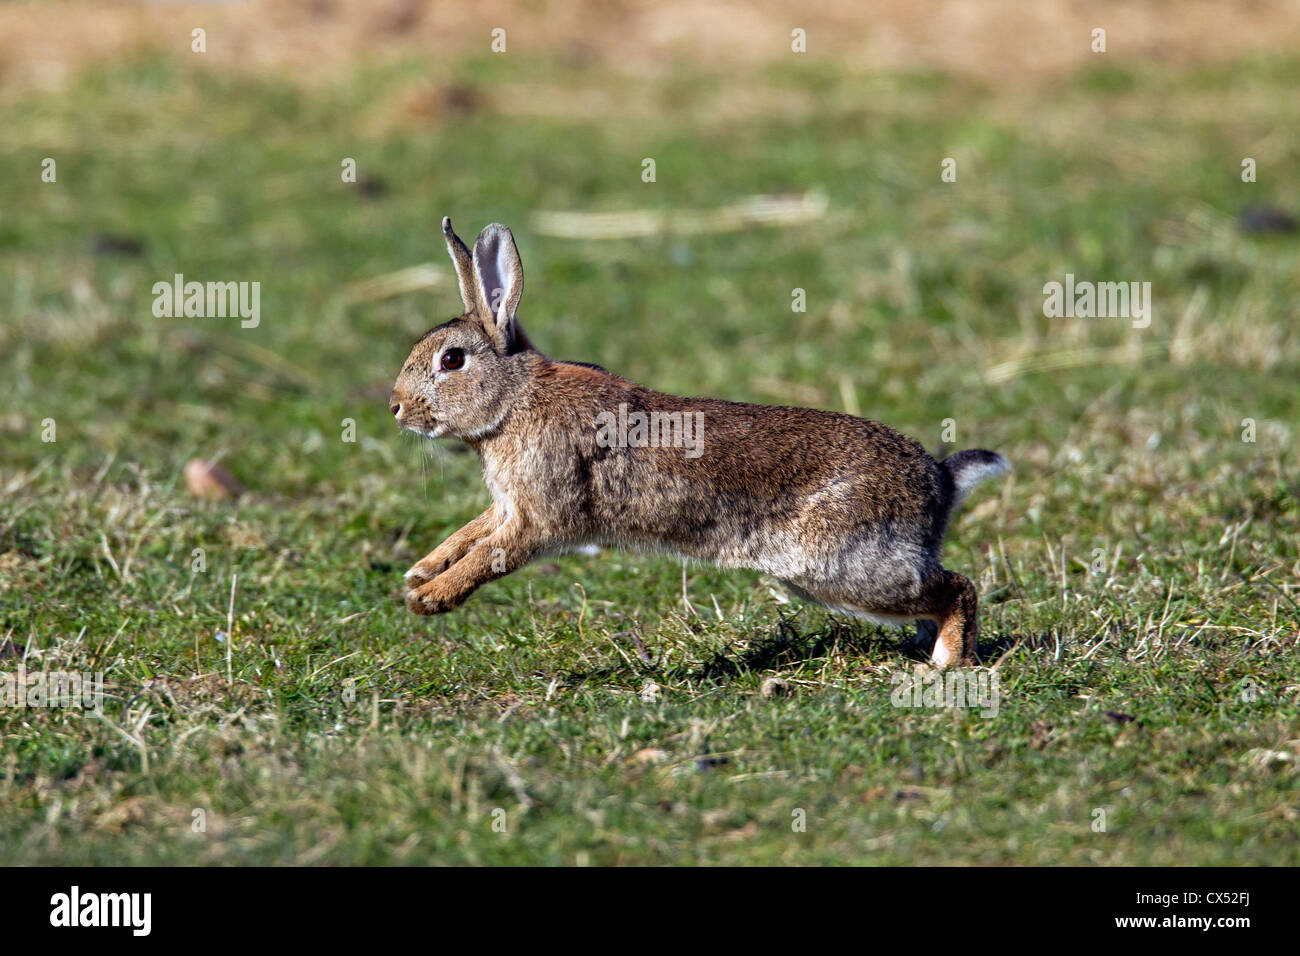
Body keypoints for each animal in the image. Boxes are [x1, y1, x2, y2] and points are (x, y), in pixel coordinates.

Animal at [389, 218, 1011, 667]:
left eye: (452, 360)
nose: (395, 406)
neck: (514, 399)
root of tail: (940, 479)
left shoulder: (540, 517)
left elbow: (489, 556)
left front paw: (429, 598)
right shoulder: (507, 506)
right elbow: (468, 533)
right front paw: (420, 572)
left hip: (845, 565)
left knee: (958, 587)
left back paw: (947, 663)